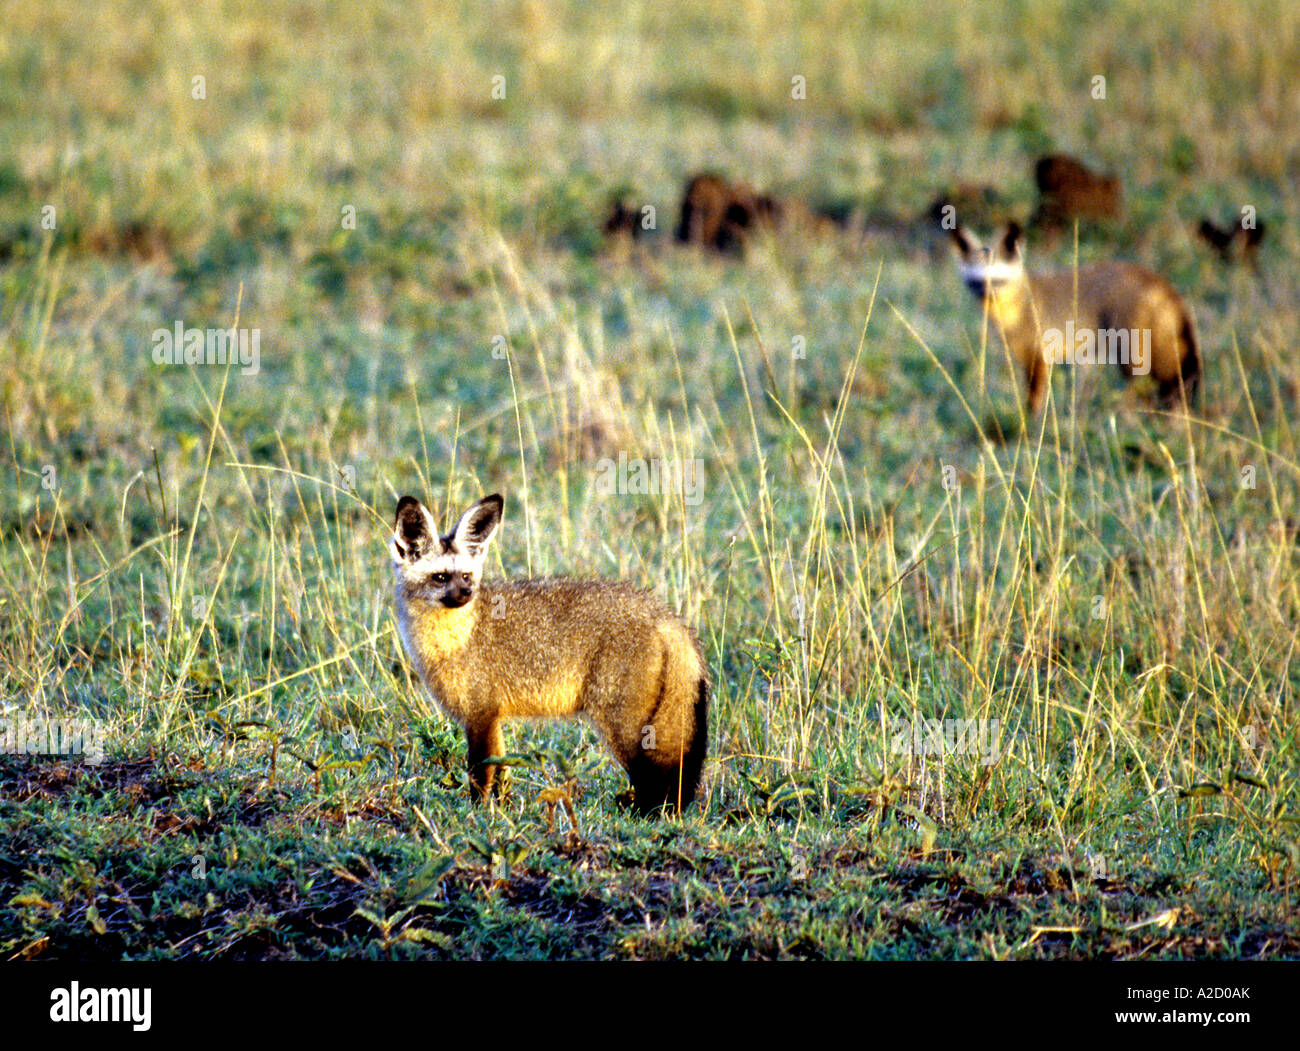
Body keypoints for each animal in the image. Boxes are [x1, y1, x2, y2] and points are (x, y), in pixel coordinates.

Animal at [389, 493, 709, 814]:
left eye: (466, 576)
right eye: (441, 577)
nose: (467, 593)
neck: (456, 638)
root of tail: (662, 612)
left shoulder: (480, 715)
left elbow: (480, 774)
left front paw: (476, 814)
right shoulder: (491, 718)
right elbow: (502, 774)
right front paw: (502, 812)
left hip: (622, 725)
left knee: (652, 777)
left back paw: (647, 814)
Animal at [951, 221, 1200, 414]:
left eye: (997, 280)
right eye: (976, 281)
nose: (985, 295)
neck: (1018, 309)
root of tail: (1157, 279)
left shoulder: (1038, 356)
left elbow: (1034, 398)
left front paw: (1031, 421)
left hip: (1131, 358)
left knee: (1148, 389)